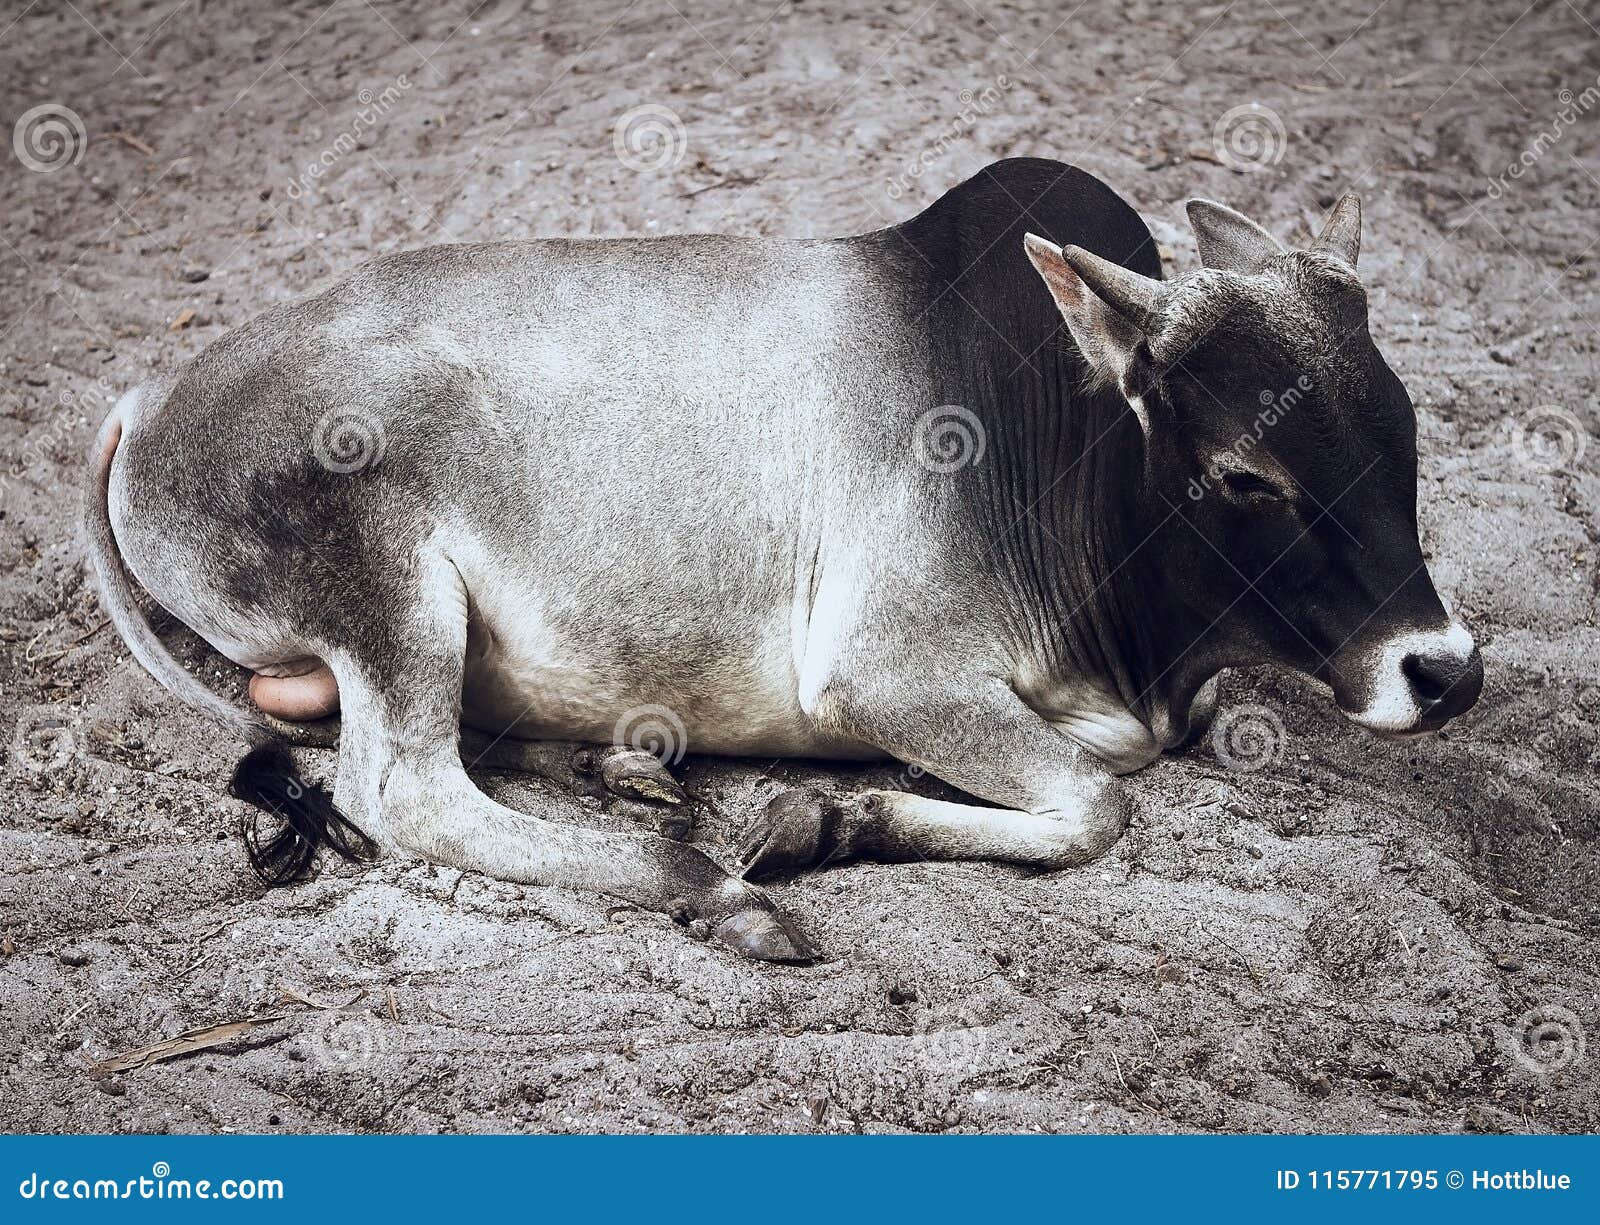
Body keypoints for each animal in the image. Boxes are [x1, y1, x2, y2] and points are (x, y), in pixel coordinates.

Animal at [86, 158, 1483, 962]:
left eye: (1404, 430)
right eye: (1248, 474)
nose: (1446, 672)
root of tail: (153, 399)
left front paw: (834, 817)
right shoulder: (881, 674)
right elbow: (1100, 804)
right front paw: (818, 824)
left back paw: (626, 768)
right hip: (392, 596)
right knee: (405, 788)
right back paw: (709, 885)